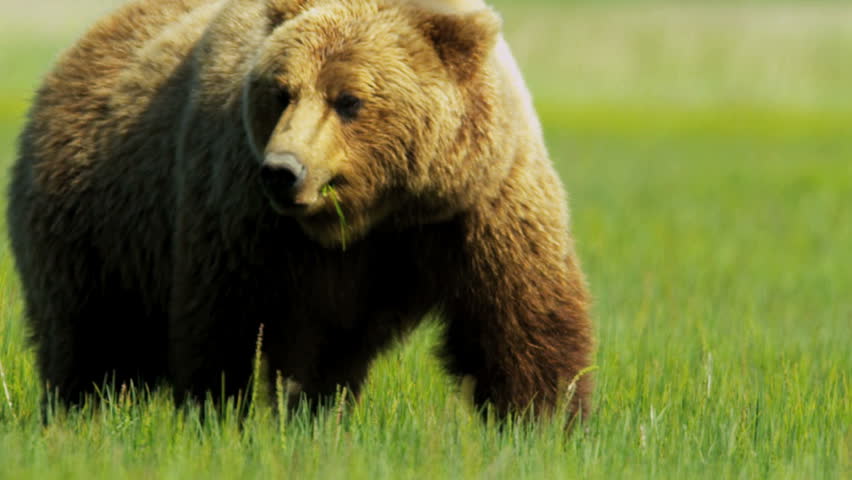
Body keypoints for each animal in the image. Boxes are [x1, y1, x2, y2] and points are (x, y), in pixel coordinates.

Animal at [7, 0, 594, 420]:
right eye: (281, 91)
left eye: (349, 100)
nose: (283, 169)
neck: (379, 213)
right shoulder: (243, 214)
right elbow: (229, 320)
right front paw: (223, 415)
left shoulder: (479, 202)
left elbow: (519, 319)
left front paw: (547, 420)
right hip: (93, 226)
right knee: (91, 339)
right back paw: (79, 413)